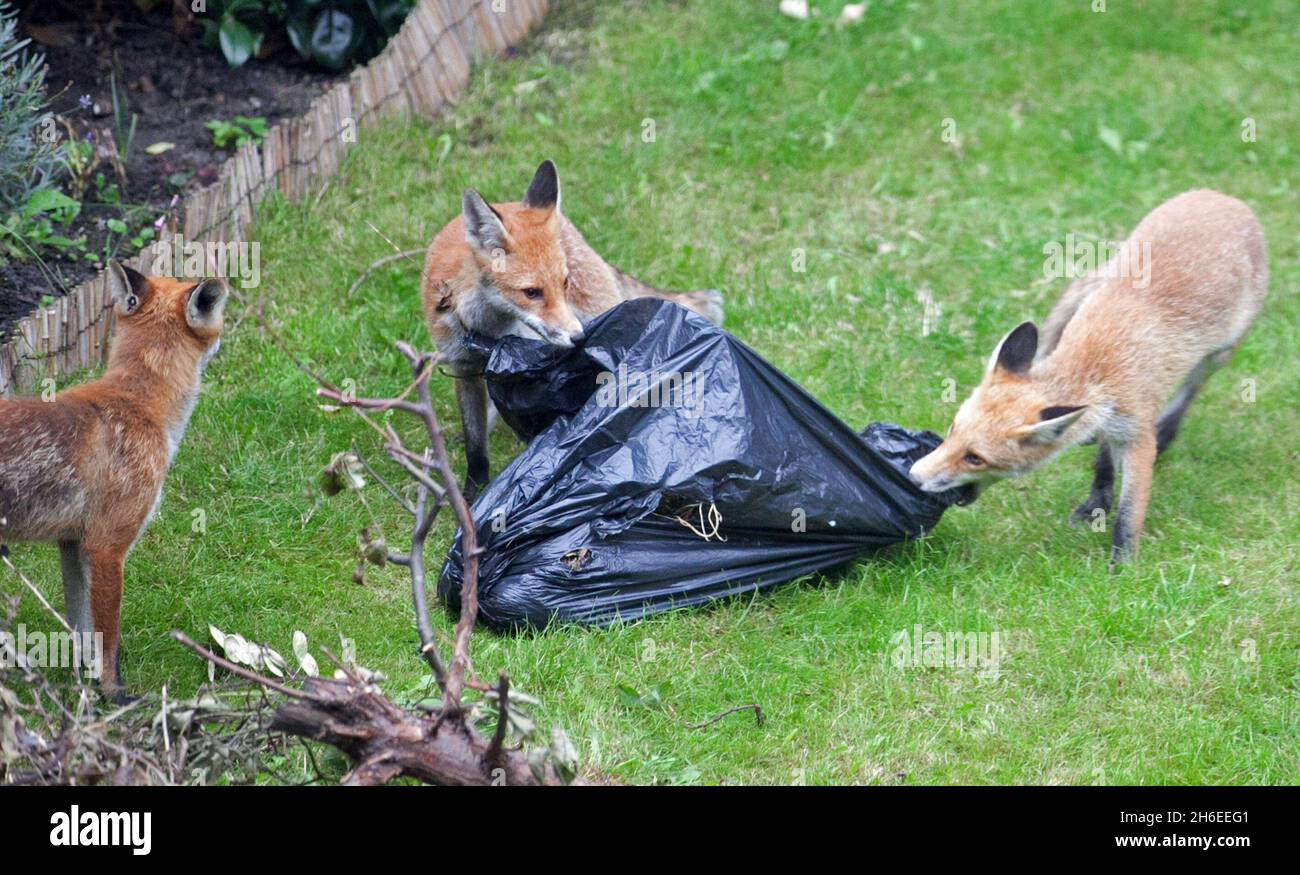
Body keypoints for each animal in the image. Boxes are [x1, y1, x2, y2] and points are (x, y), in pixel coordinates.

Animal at [0, 262, 228, 701]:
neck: (138, 403)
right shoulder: (107, 546)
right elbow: (108, 638)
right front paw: (114, 695)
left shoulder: (71, 543)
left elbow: (82, 631)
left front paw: (81, 685)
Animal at [421, 159, 724, 498]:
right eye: (531, 292)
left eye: (563, 284)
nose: (579, 337)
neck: (487, 330)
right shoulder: (463, 368)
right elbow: (475, 446)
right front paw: (471, 495)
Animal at [909, 189, 1268, 564]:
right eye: (952, 430)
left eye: (975, 458)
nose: (914, 477)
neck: (1094, 365)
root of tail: (1220, 196)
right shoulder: (1106, 416)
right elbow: (1104, 464)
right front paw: (1097, 502)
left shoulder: (1136, 434)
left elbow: (1130, 511)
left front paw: (1123, 564)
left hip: (1220, 353)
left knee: (1193, 388)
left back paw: (1169, 428)